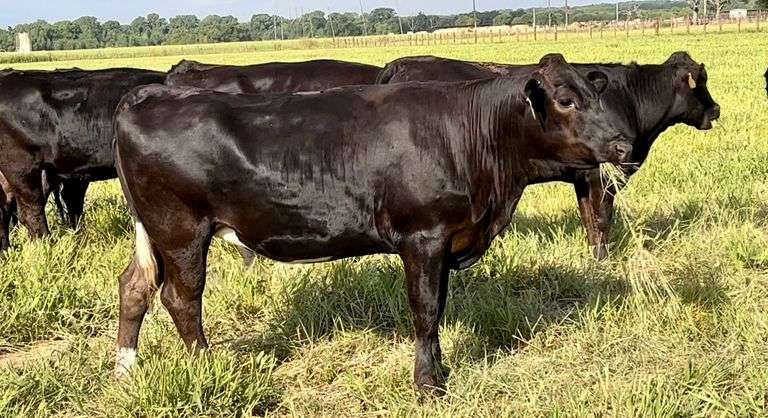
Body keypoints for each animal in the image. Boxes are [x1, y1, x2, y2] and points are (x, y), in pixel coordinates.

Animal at [112, 54, 633, 392]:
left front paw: (439, 373)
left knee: (135, 286)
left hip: (156, 231)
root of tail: (147, 94)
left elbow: (438, 307)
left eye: (596, 92)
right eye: (565, 100)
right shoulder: (424, 236)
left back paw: (125, 368)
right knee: (181, 298)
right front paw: (428, 385)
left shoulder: (446, 240)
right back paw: (208, 364)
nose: (624, 144)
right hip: (181, 228)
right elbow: (426, 311)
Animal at [378, 52, 720, 259]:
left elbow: (589, 218)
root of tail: (399, 64)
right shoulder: (602, 176)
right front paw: (603, 259)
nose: (716, 109)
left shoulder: (582, 178)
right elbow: (603, 218)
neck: (627, 100)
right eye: (701, 82)